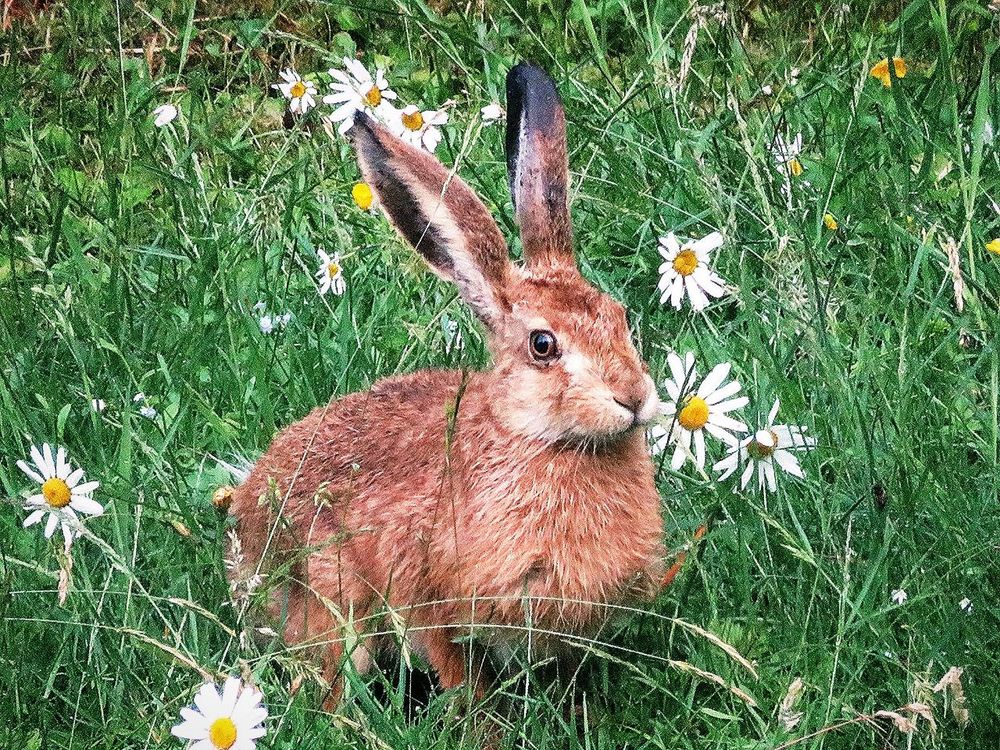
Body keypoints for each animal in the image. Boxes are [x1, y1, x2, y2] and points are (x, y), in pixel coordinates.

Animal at [228, 62, 669, 705]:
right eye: (543, 345)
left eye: (620, 317)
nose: (633, 399)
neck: (542, 441)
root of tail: (246, 533)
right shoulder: (432, 601)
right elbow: (462, 679)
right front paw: (479, 719)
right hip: (334, 604)